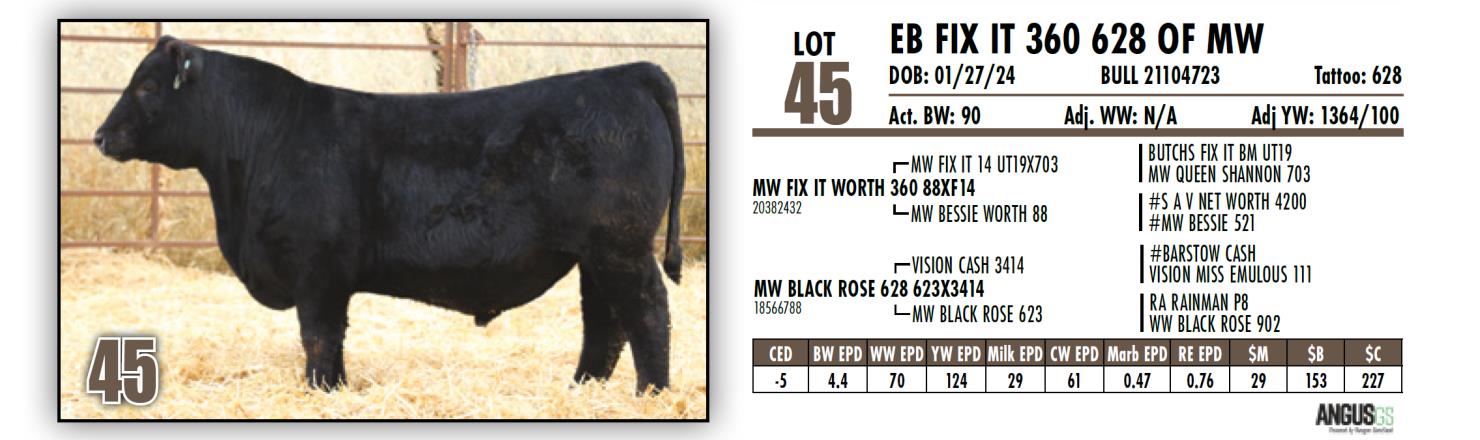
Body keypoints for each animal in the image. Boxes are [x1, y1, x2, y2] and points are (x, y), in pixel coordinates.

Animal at [92, 36, 686, 394]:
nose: (100, 136)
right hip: (595, 255)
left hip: (620, 247)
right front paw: (335, 388)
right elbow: (332, 339)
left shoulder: (317, 270)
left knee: (647, 313)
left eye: (147, 86)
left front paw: (320, 389)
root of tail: (630, 72)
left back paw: (650, 393)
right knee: (604, 323)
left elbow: (319, 336)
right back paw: (583, 389)